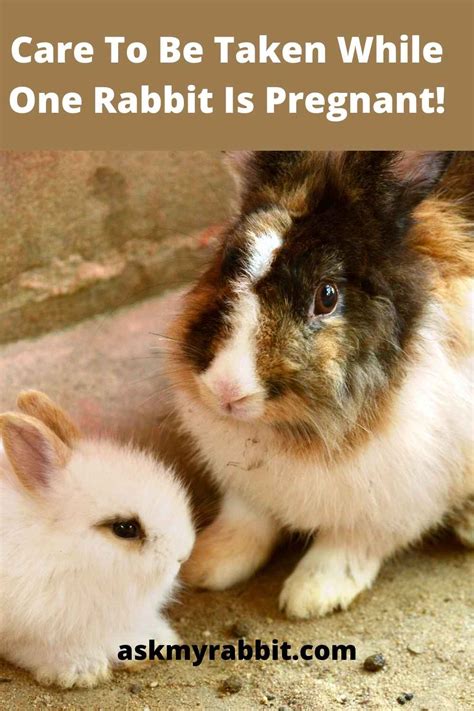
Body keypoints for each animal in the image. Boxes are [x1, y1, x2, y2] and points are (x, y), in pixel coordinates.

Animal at [166, 151, 473, 619]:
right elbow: (247, 522)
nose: (226, 390)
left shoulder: (393, 499)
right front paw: (208, 563)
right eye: (228, 264)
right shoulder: (247, 487)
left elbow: (349, 543)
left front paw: (311, 595)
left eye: (326, 296)